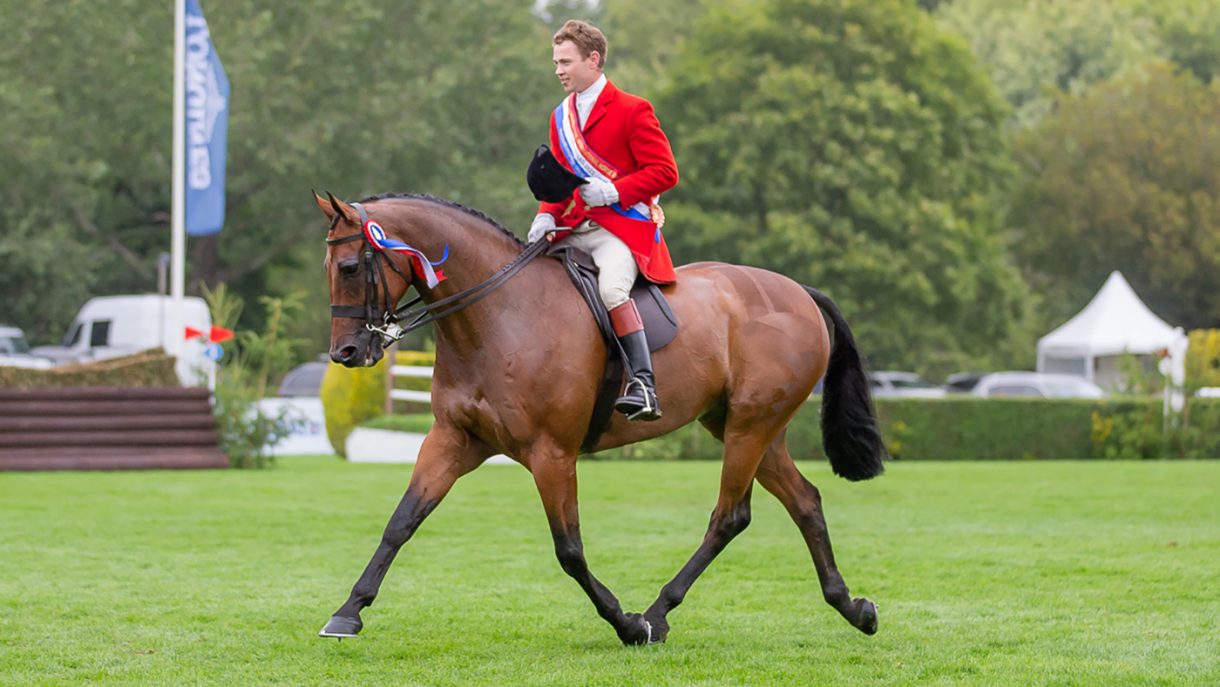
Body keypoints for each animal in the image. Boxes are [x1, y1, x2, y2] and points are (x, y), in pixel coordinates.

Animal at [314, 191, 887, 645]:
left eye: (350, 268)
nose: (346, 353)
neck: (499, 316)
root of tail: (799, 291)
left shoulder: (552, 453)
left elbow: (569, 550)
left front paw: (627, 623)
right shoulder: (453, 440)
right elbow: (401, 522)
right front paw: (348, 612)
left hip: (751, 426)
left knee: (729, 516)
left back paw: (657, 614)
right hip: (740, 425)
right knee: (804, 501)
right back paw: (853, 608)